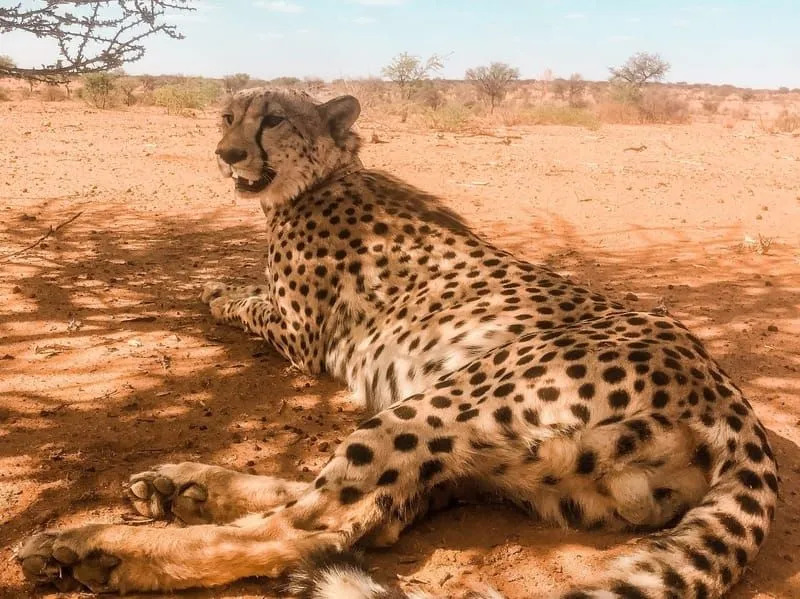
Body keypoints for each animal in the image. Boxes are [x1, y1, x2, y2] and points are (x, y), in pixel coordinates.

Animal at [17, 90, 776, 599]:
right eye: (227, 117)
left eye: (273, 118)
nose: (227, 154)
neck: (328, 173)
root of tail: (730, 400)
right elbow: (247, 284)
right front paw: (218, 281)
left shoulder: (301, 336)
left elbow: (251, 302)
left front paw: (217, 291)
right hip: (517, 464)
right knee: (375, 513)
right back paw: (183, 486)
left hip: (452, 401)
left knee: (317, 524)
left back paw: (97, 548)